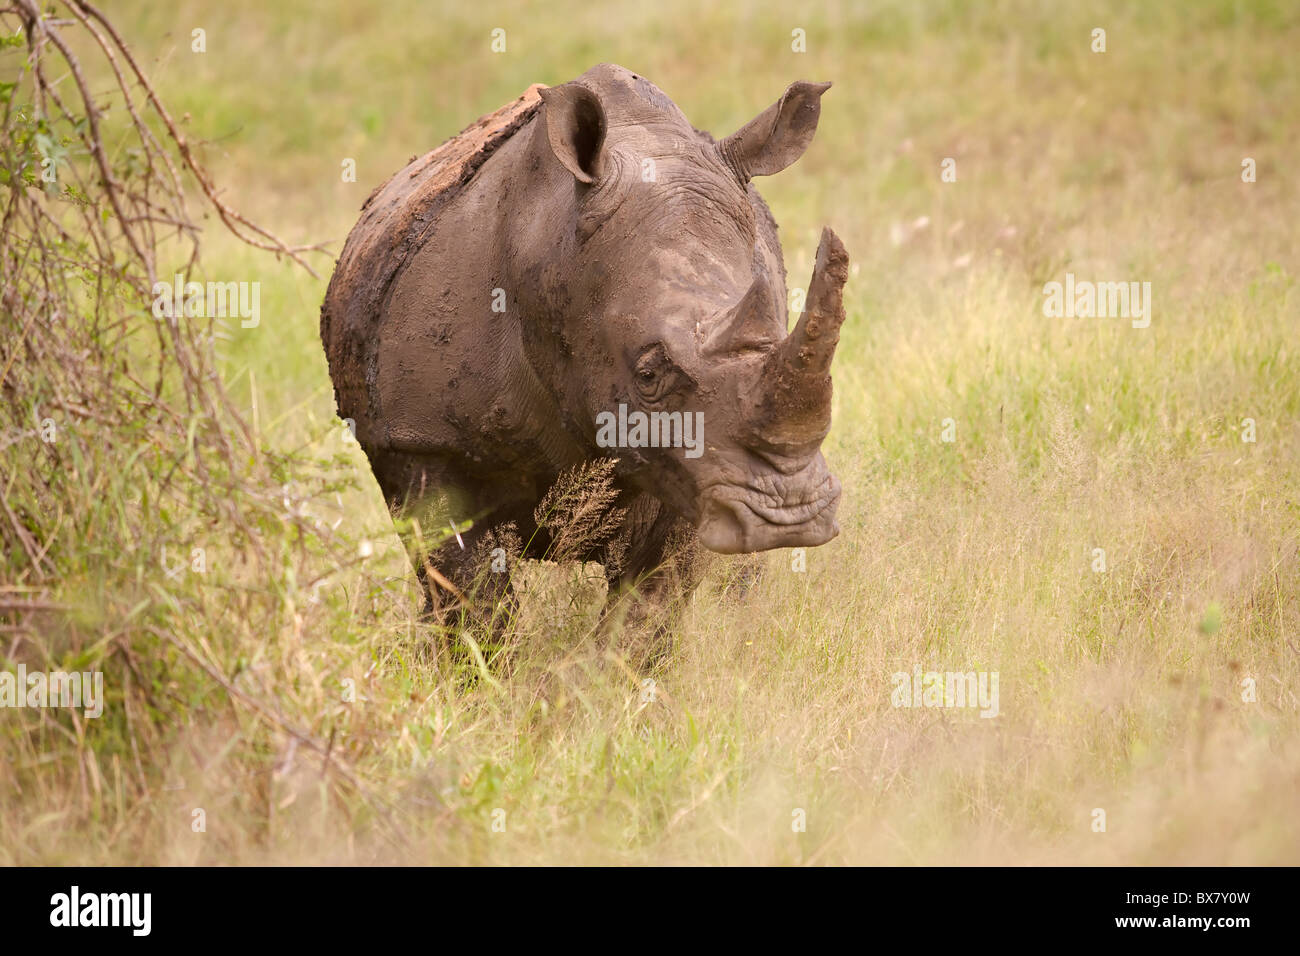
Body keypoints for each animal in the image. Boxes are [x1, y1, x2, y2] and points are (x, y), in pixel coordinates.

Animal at [321, 63, 850, 623]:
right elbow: (473, 598)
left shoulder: (694, 470)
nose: (788, 515)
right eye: (647, 375)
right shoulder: (422, 440)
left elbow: (650, 604)